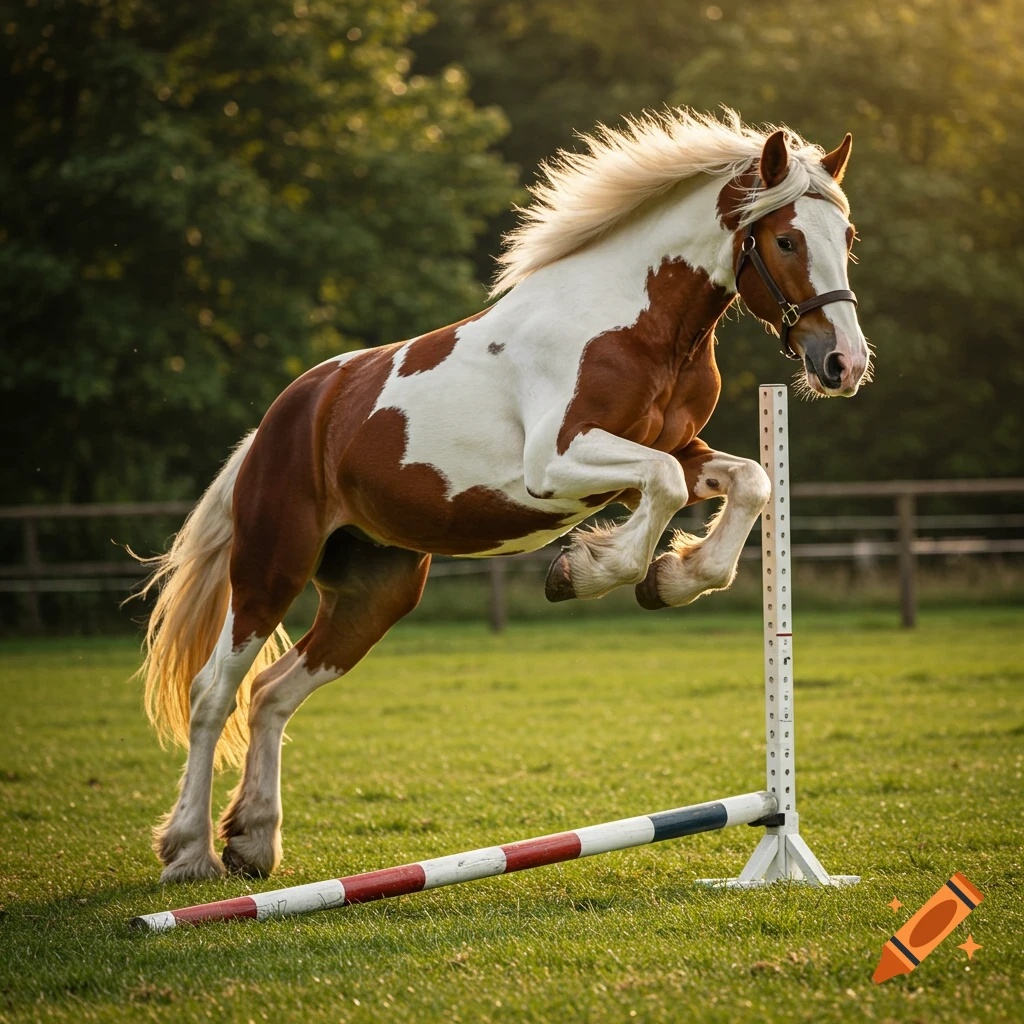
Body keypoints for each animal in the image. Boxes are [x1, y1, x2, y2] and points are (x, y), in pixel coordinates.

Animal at [138, 109, 870, 883]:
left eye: (847, 237)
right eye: (786, 239)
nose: (843, 363)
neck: (635, 324)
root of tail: (279, 420)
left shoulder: (679, 450)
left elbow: (750, 481)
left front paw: (671, 578)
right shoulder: (557, 461)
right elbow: (665, 492)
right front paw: (585, 571)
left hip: (375, 592)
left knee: (272, 693)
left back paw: (252, 842)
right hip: (272, 563)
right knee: (214, 691)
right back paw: (189, 855)